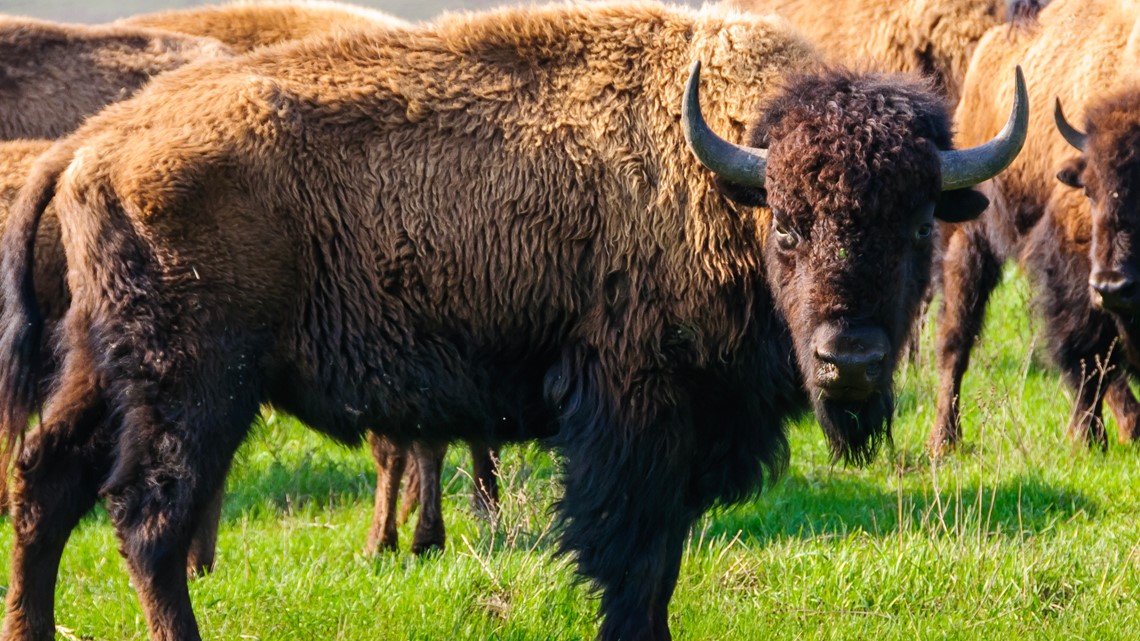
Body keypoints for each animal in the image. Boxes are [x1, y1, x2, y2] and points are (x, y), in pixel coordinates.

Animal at [0, 2, 1026, 640]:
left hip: (105, 370)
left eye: (915, 224)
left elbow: (657, 558)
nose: (847, 357)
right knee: (149, 521)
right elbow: (633, 558)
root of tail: (90, 145)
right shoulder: (632, 418)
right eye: (788, 222)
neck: (722, 175)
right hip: (196, 385)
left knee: (46, 486)